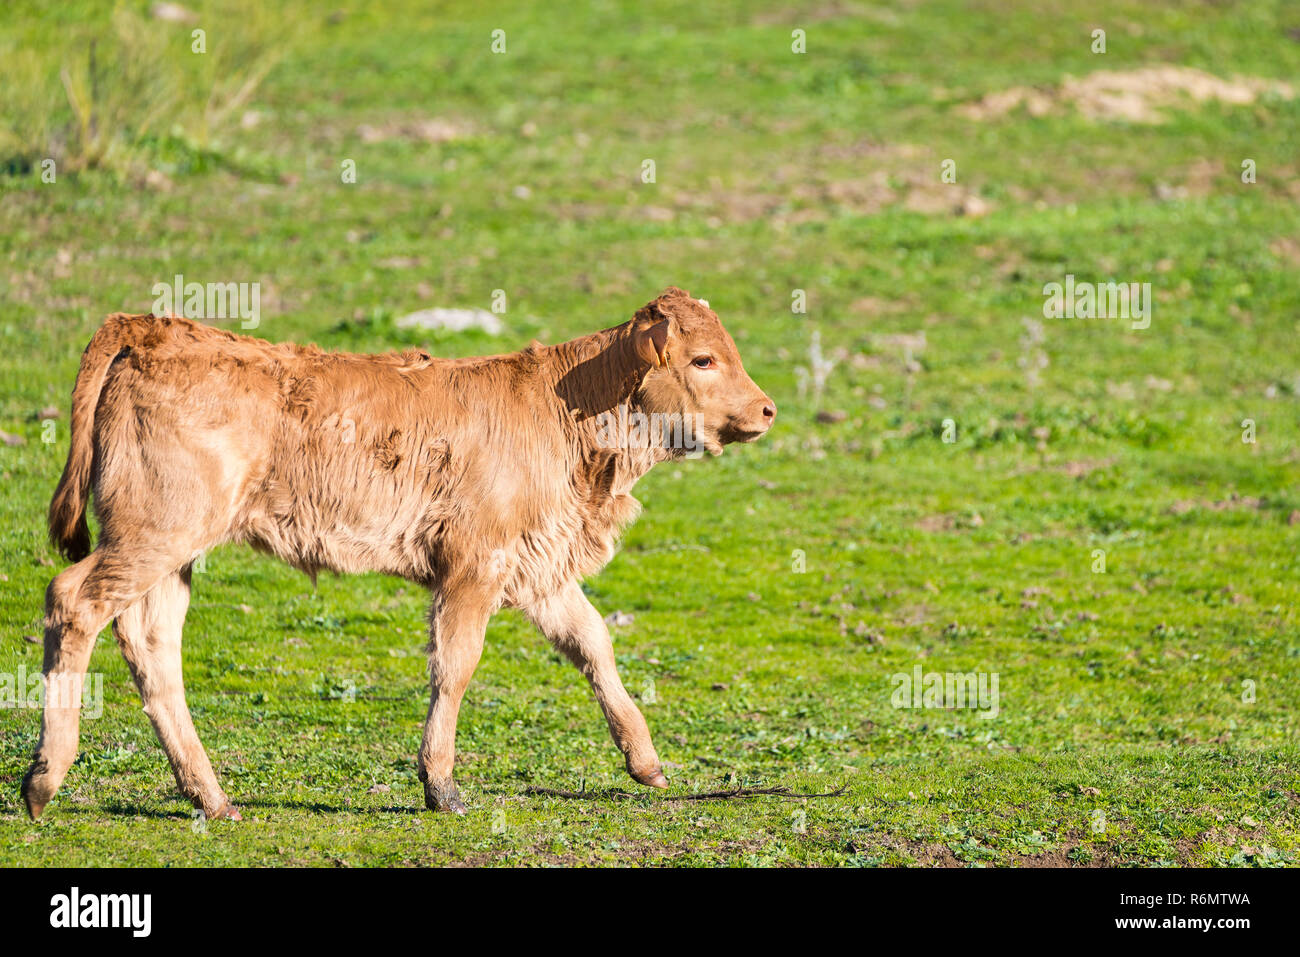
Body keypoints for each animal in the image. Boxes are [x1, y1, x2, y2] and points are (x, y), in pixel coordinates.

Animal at [22, 287, 776, 819]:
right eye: (703, 359)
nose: (767, 409)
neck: (566, 412)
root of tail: (154, 328)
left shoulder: (539, 569)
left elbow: (593, 645)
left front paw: (645, 761)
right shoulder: (472, 567)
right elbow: (456, 666)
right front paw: (440, 783)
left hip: (170, 551)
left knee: (151, 645)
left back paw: (210, 795)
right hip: (154, 534)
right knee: (74, 602)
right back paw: (44, 779)